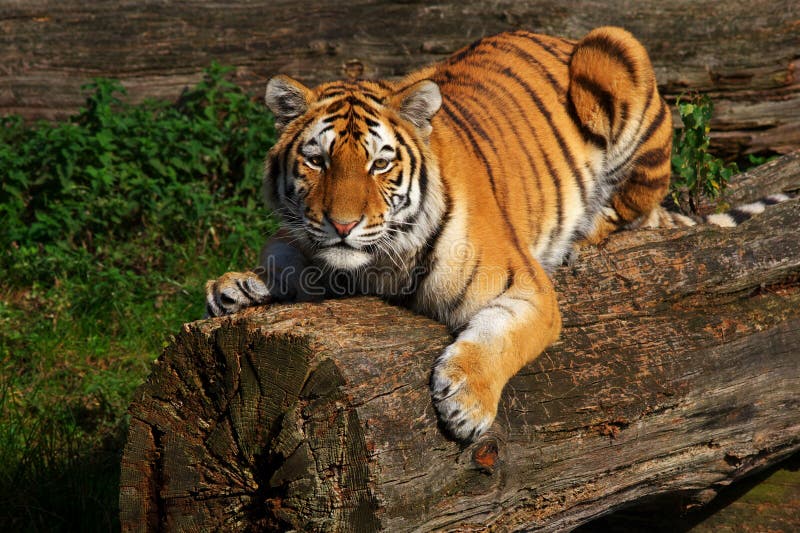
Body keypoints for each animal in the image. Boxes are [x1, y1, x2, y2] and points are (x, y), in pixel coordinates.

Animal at [204, 27, 784, 442]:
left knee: (632, 210)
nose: (343, 225)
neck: (376, 265)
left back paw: (580, 238)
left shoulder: (526, 290)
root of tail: (558, 37)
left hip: (615, 49)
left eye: (379, 164)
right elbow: (281, 252)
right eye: (317, 161)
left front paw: (466, 403)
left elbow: (501, 336)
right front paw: (239, 287)